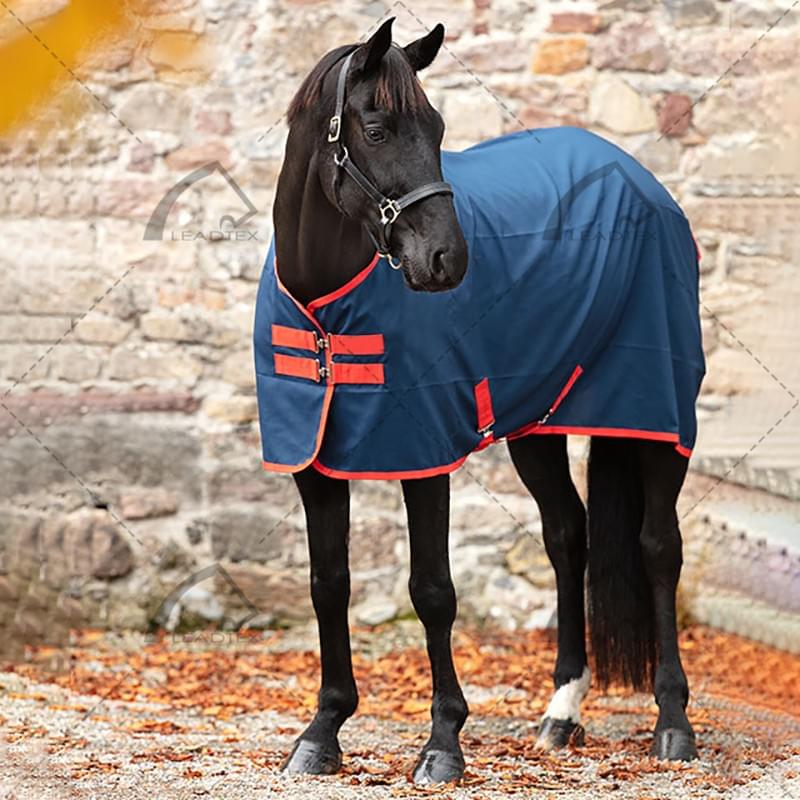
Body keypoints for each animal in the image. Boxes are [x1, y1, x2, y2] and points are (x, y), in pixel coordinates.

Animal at [255, 17, 704, 784]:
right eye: (375, 128)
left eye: (437, 127)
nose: (448, 261)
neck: (325, 307)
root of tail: (638, 179)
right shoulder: (312, 464)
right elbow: (328, 583)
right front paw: (323, 730)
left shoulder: (424, 455)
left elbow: (432, 591)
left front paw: (443, 741)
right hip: (536, 425)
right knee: (568, 536)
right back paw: (562, 712)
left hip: (655, 416)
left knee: (658, 548)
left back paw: (673, 722)